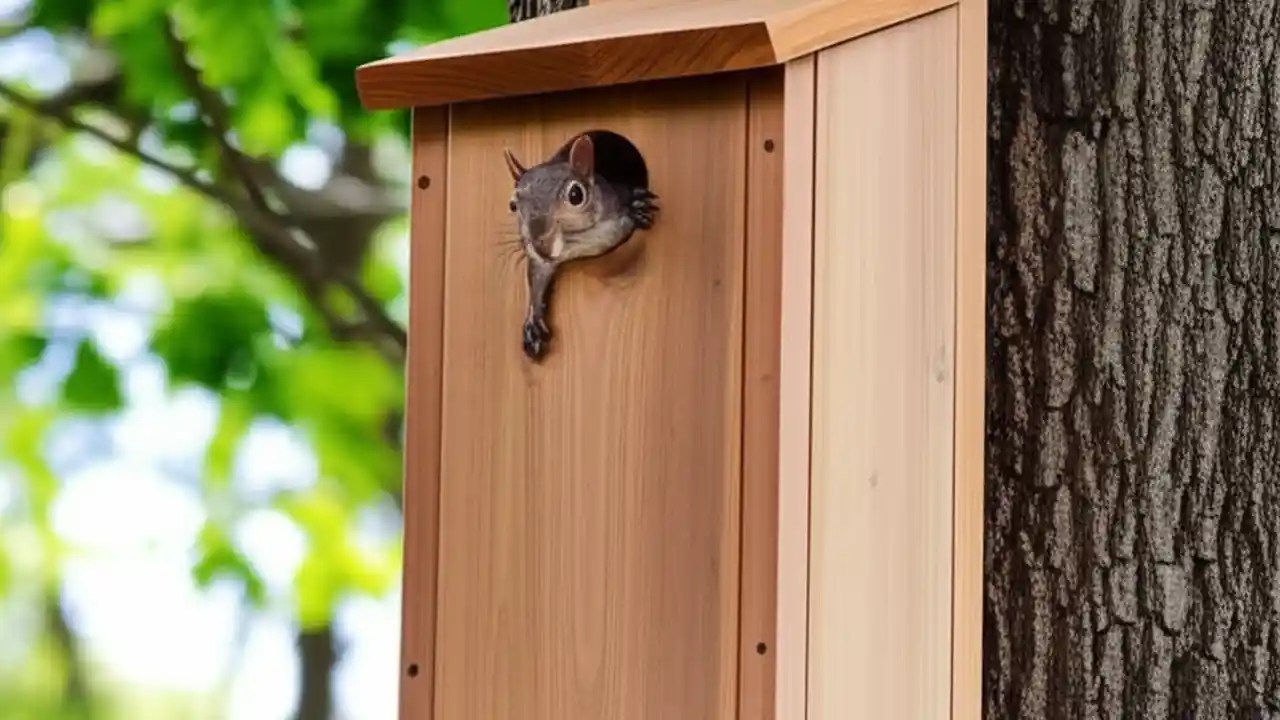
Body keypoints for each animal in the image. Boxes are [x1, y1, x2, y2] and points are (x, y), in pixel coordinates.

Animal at [504, 129, 659, 361]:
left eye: (576, 195)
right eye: (513, 205)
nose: (541, 245)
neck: (580, 242)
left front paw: (637, 206)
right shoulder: (541, 261)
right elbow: (537, 279)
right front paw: (534, 322)